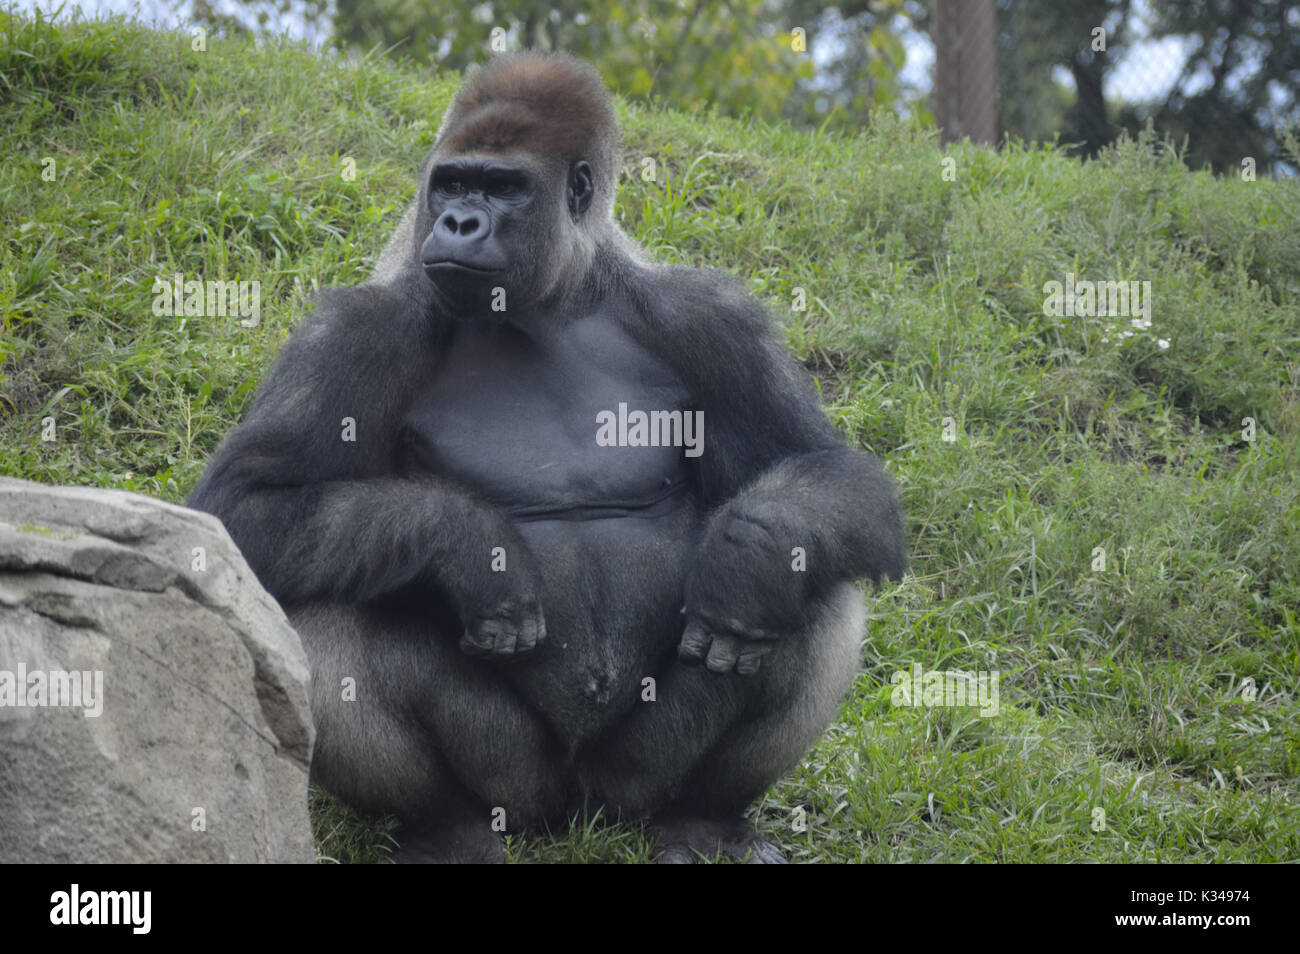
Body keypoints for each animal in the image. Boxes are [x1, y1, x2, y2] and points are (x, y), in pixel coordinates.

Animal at [189, 52, 905, 863]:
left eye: (504, 188)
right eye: (452, 183)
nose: (457, 223)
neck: (553, 302)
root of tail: (576, 817)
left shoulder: (713, 316)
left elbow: (826, 470)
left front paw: (750, 552)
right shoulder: (356, 327)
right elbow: (244, 506)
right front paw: (468, 543)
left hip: (632, 782)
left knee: (814, 585)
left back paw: (706, 816)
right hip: (517, 783)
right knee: (323, 608)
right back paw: (444, 826)